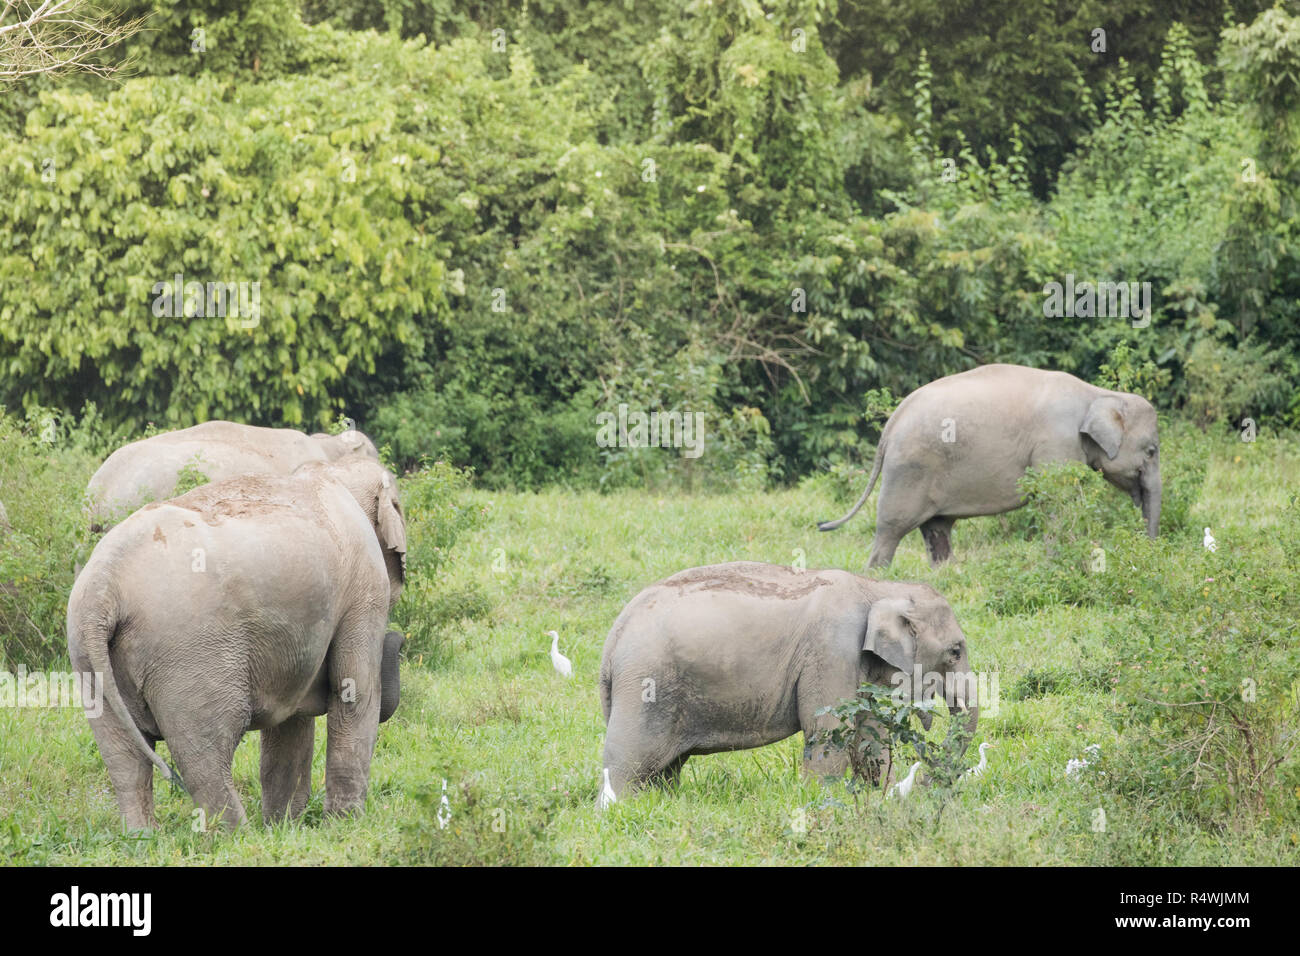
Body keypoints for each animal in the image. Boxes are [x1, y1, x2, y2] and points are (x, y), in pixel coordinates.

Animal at [67, 455, 407, 830]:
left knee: (124, 757)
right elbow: (354, 692)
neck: (330, 470)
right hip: (188, 655)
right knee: (204, 750)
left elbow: (292, 720)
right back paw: (236, 834)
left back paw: (144, 836)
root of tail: (104, 586)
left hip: (89, 661)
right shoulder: (365, 583)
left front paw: (283, 827)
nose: (400, 641)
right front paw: (344, 826)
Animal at [597, 561, 977, 802]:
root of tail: (613, 640)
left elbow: (871, 733)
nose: (925, 786)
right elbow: (828, 728)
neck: (877, 588)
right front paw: (822, 799)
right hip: (646, 686)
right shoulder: (832, 651)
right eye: (955, 651)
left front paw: (882, 797)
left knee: (665, 767)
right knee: (629, 762)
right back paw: (620, 809)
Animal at [818, 364, 1162, 567]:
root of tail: (891, 424)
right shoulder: (1056, 443)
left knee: (937, 529)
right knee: (892, 528)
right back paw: (879, 576)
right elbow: (1057, 502)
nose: (1148, 553)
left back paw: (948, 574)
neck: (1097, 394)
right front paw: (1060, 562)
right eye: (1151, 451)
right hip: (909, 469)